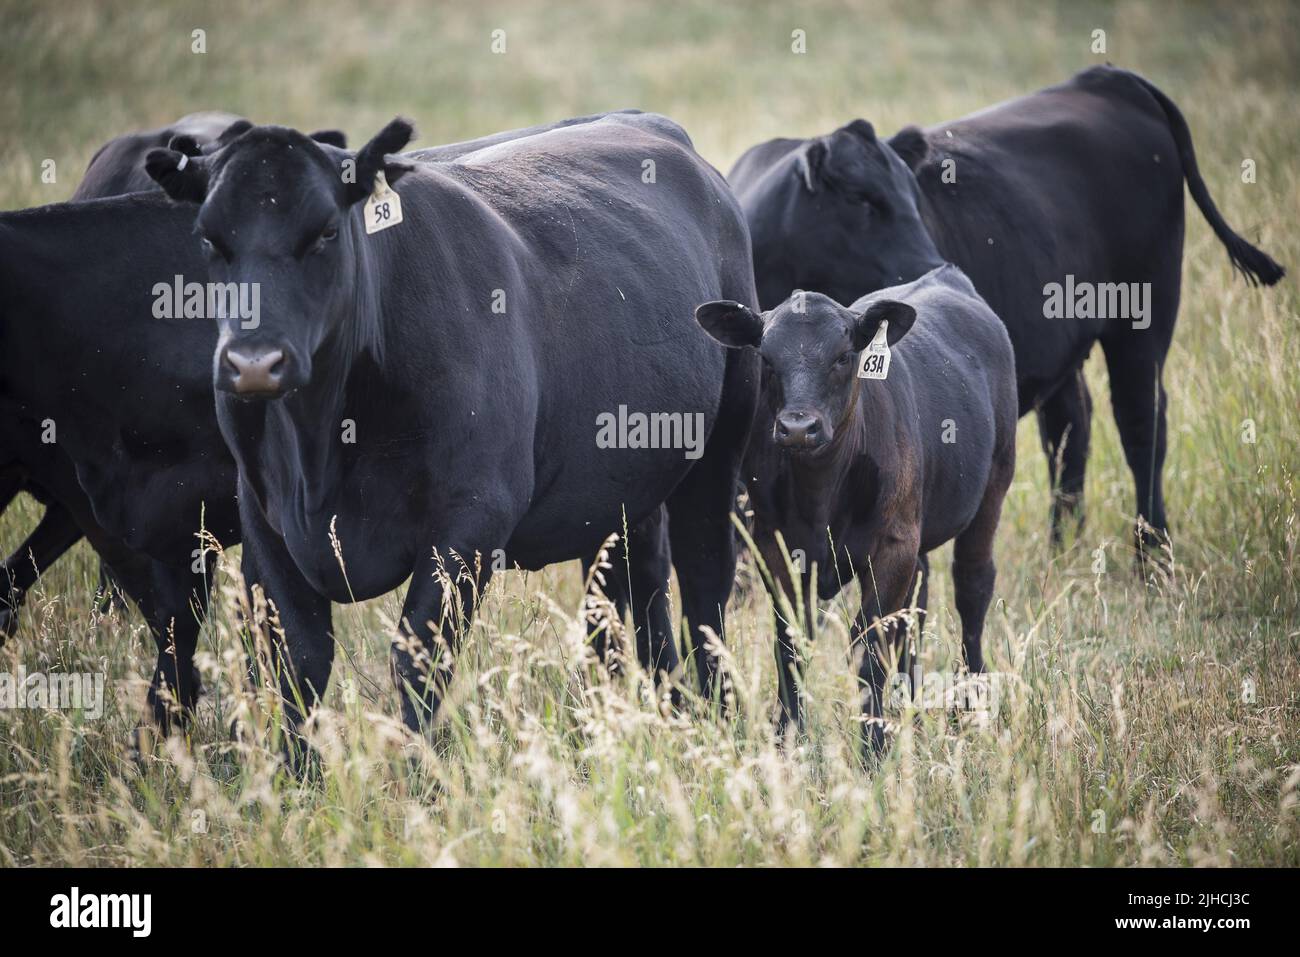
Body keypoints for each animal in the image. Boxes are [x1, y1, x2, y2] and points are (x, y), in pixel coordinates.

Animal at [143, 112, 760, 754]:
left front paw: (415, 771)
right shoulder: (265, 520)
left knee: (705, 587)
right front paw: (297, 772)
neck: (322, 442)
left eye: (326, 233)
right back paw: (660, 709)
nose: (255, 363)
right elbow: (299, 664)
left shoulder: (471, 518)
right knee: (632, 592)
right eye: (209, 239)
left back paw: (719, 718)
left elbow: (417, 659)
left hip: (719, 452)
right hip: (622, 485)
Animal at [696, 265, 1017, 756]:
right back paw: (911, 706)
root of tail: (949, 276)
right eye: (766, 359)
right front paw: (788, 737)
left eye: (844, 356)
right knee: (918, 601)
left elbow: (870, 646)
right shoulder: (776, 547)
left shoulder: (891, 548)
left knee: (973, 587)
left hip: (994, 485)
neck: (821, 494)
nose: (798, 427)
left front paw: (872, 747)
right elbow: (791, 642)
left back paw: (970, 702)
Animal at [728, 66, 1284, 563]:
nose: (934, 263)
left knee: (1141, 423)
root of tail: (1111, 78)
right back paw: (1061, 554)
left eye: (914, 194)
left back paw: (1152, 559)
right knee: (1071, 426)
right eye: (861, 199)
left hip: (1145, 319)